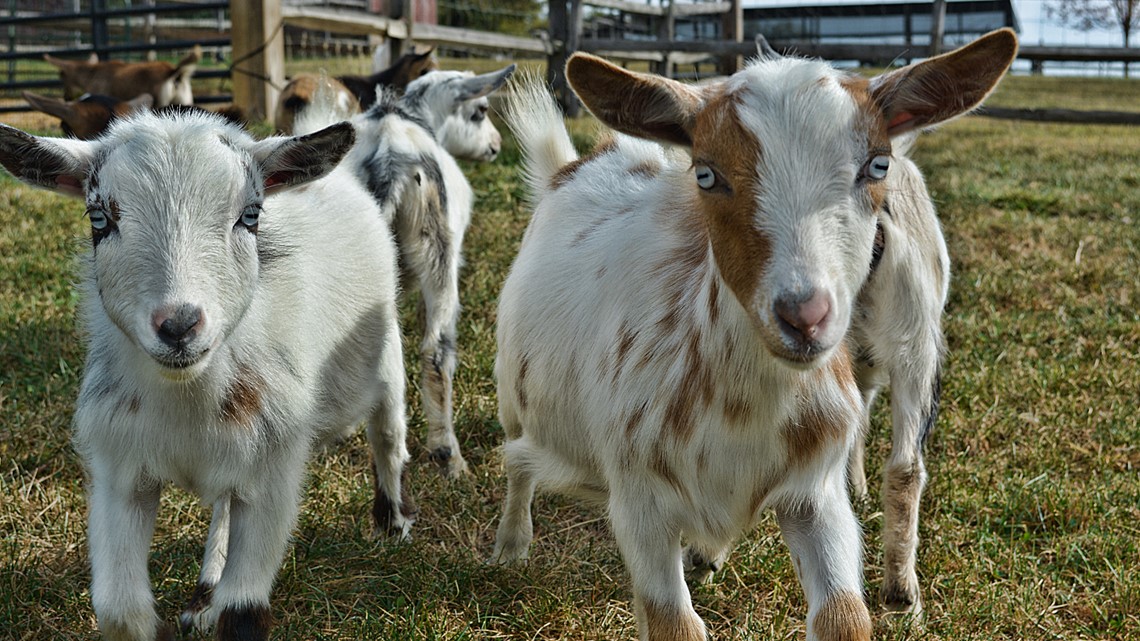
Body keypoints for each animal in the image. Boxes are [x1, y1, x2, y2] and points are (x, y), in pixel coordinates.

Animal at [0, 110, 414, 641]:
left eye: (251, 215)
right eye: (99, 218)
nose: (179, 326)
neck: (186, 403)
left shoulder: (276, 471)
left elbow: (244, 614)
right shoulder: (119, 469)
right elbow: (120, 611)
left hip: (387, 353)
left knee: (388, 433)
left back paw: (393, 520)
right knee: (224, 503)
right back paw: (206, 590)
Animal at [294, 64, 514, 479]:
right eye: (480, 111)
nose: (496, 145)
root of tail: (390, 159)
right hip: (437, 253)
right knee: (435, 351)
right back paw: (448, 455)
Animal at [490, 28, 1016, 641]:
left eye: (877, 164)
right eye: (706, 173)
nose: (804, 315)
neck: (742, 405)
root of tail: (584, 161)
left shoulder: (815, 494)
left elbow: (844, 617)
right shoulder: (640, 500)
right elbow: (672, 623)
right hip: (513, 390)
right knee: (516, 458)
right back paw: (511, 545)